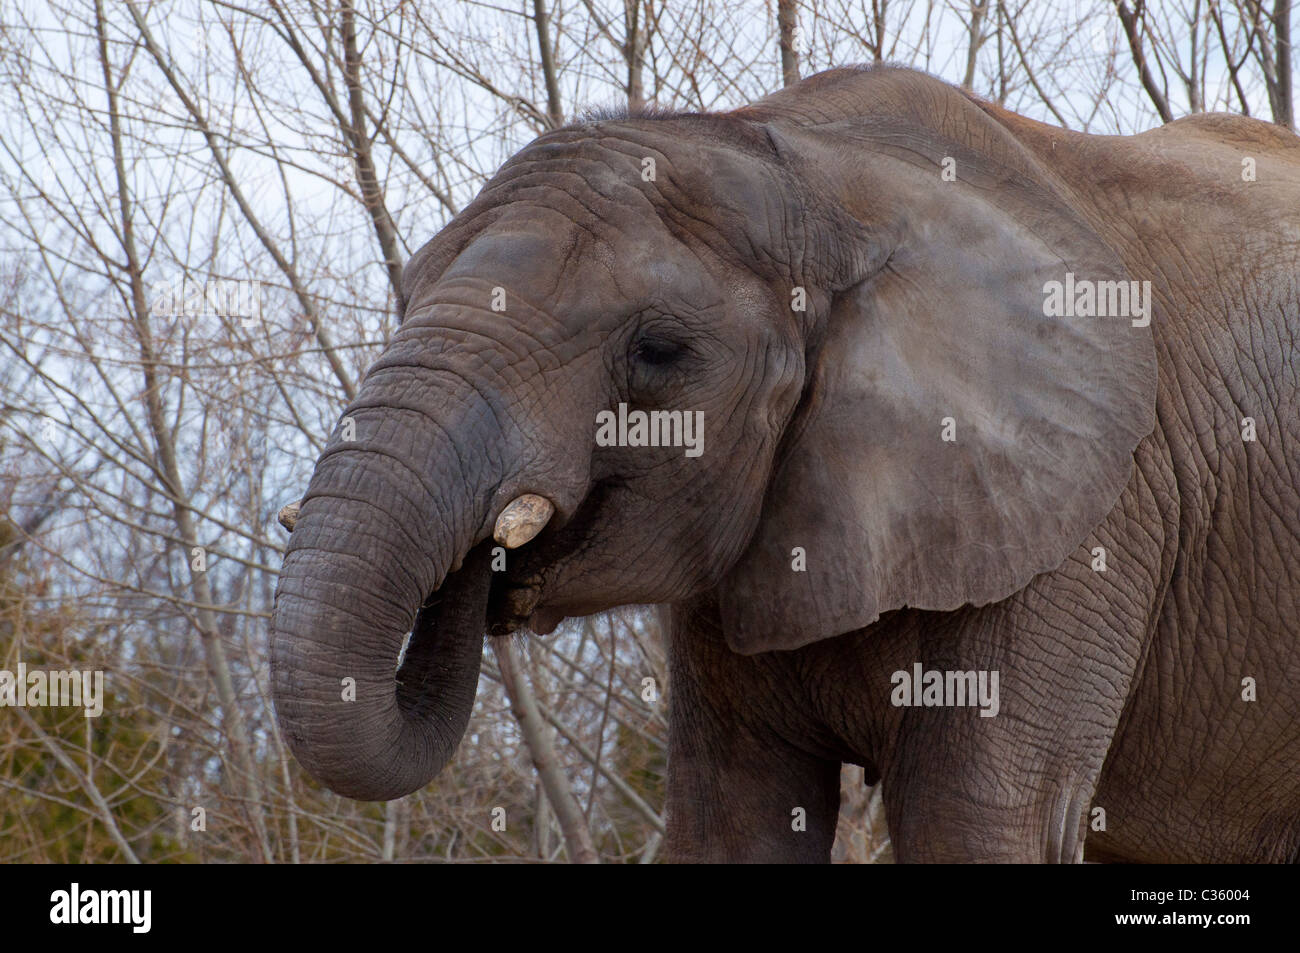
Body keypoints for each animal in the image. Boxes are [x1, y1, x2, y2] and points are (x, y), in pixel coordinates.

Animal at [270, 65, 1300, 863]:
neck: (814, 168)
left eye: (658, 351)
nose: (485, 559)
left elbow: (973, 818)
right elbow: (733, 819)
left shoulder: (1096, 516)